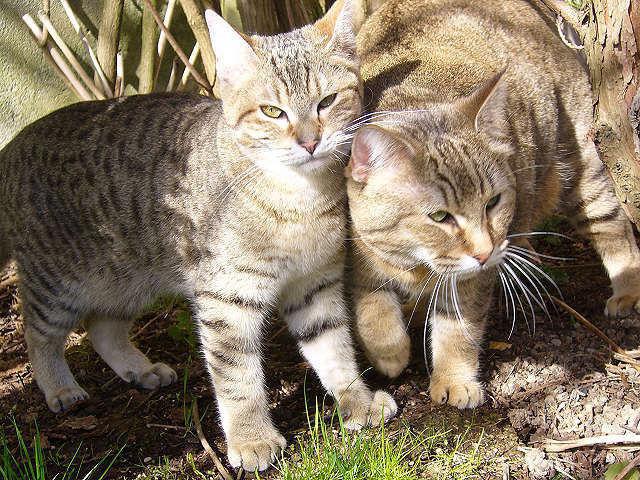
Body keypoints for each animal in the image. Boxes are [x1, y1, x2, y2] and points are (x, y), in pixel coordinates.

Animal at [0, 0, 398, 472]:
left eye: (328, 101)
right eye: (273, 111)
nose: (309, 142)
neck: (299, 202)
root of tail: (16, 142)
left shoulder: (314, 285)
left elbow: (335, 349)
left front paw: (356, 400)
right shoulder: (226, 298)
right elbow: (238, 378)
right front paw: (251, 438)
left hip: (127, 280)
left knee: (102, 327)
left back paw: (139, 368)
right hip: (58, 284)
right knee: (37, 333)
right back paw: (60, 386)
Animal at [348, 0, 640, 408]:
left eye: (493, 202)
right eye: (439, 216)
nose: (486, 252)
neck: (416, 264)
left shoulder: (472, 276)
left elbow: (458, 327)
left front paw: (453, 378)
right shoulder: (360, 251)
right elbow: (368, 300)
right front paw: (387, 349)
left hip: (582, 166)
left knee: (612, 226)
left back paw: (628, 288)